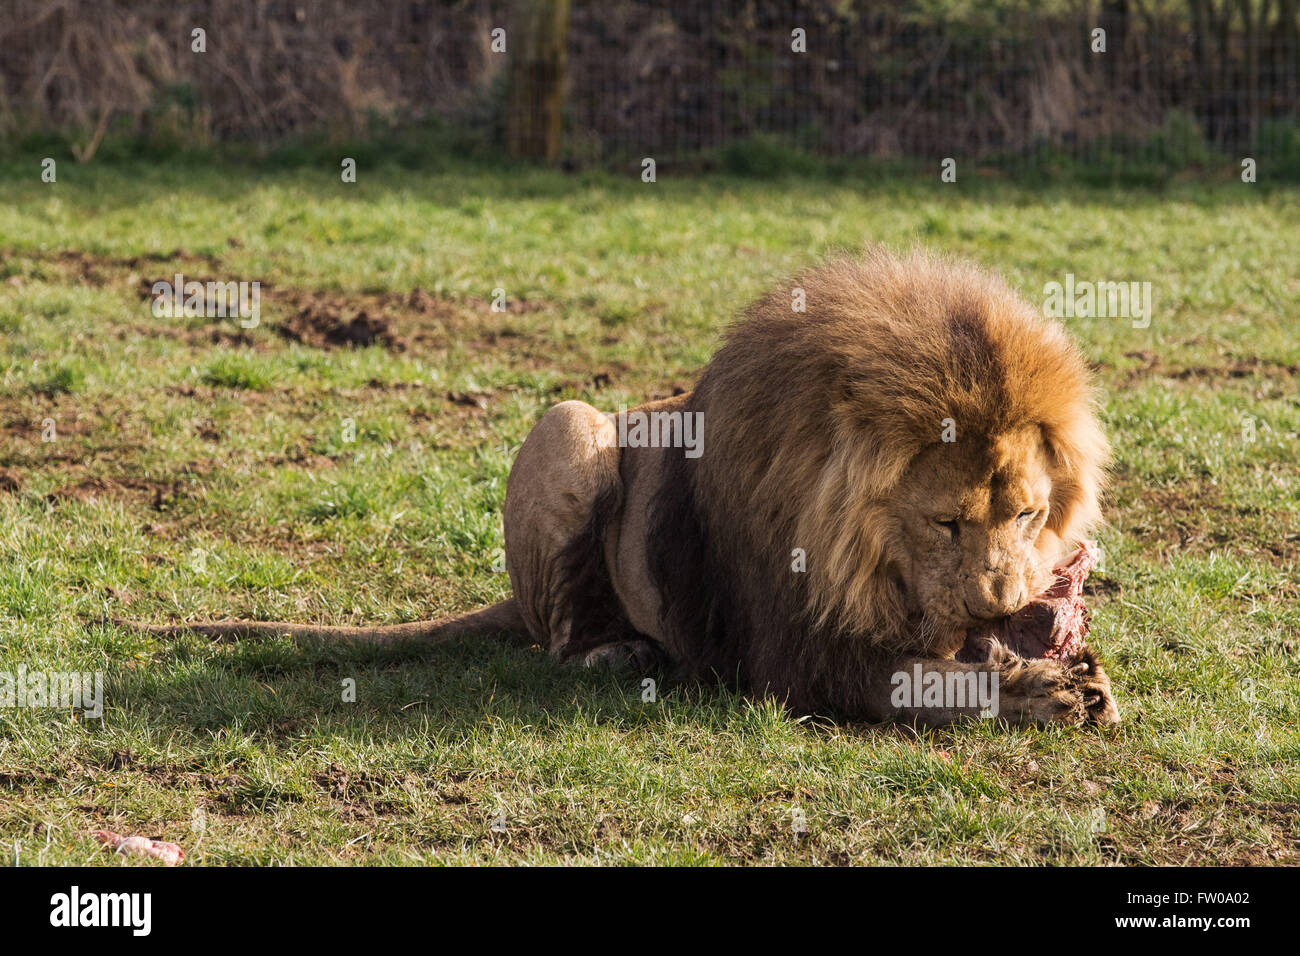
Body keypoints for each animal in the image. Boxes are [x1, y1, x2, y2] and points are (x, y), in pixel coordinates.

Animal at [128, 249, 1120, 727]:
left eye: (1030, 513)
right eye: (944, 522)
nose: (1002, 606)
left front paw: (1067, 672)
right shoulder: (792, 656)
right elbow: (918, 683)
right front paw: (1035, 691)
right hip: (573, 425)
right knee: (560, 637)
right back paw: (619, 654)